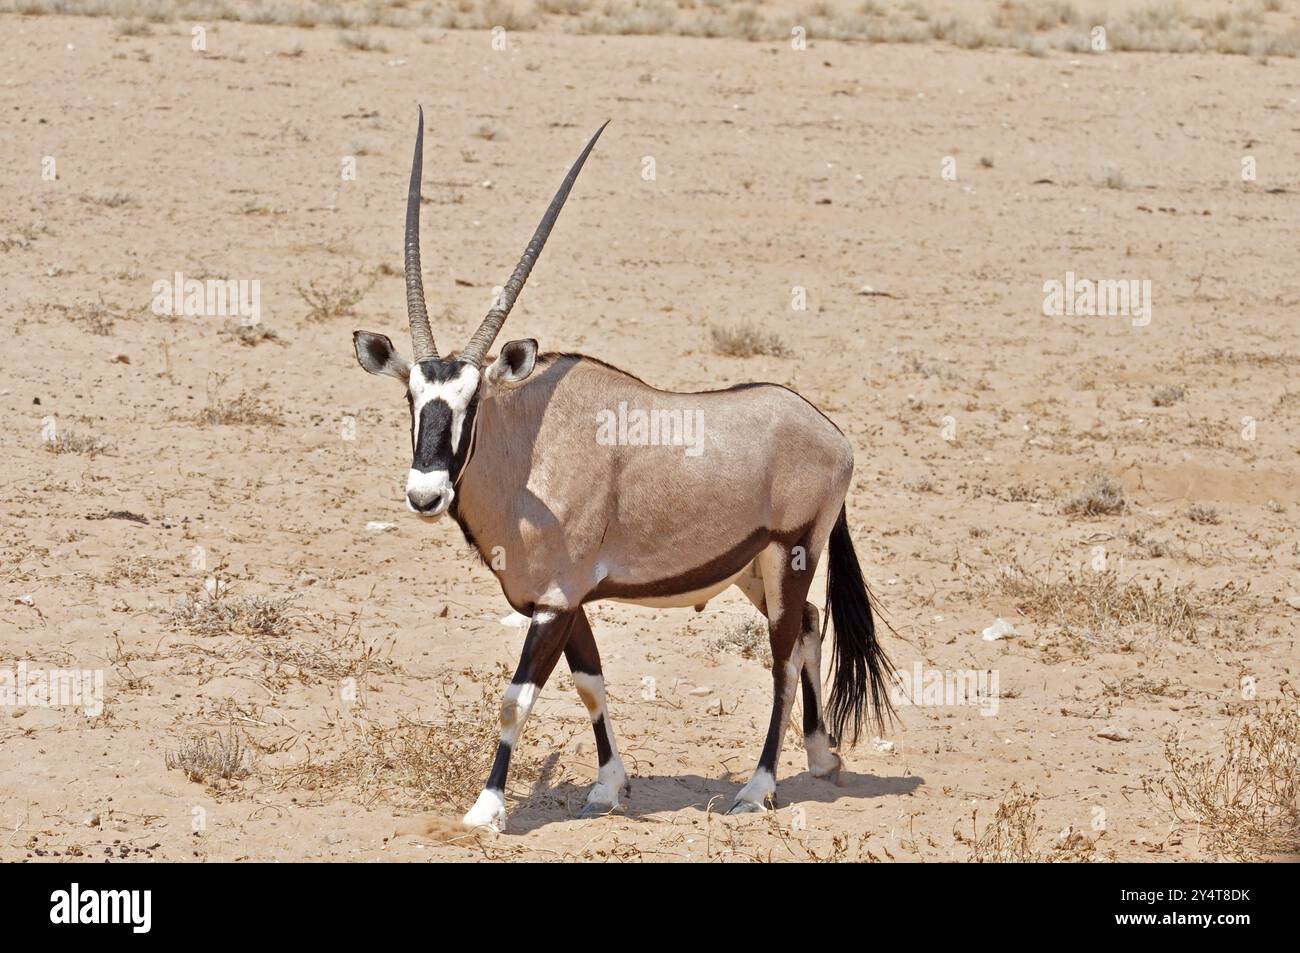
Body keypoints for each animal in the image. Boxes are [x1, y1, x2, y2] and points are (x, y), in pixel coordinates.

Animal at [353, 108, 896, 831]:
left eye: (472, 402)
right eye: (414, 397)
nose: (425, 493)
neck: (529, 451)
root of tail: (832, 434)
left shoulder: (555, 600)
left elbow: (517, 697)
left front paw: (488, 808)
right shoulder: (563, 601)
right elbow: (591, 682)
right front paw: (610, 785)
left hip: (792, 554)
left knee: (782, 658)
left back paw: (757, 788)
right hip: (755, 569)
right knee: (808, 627)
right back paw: (822, 756)